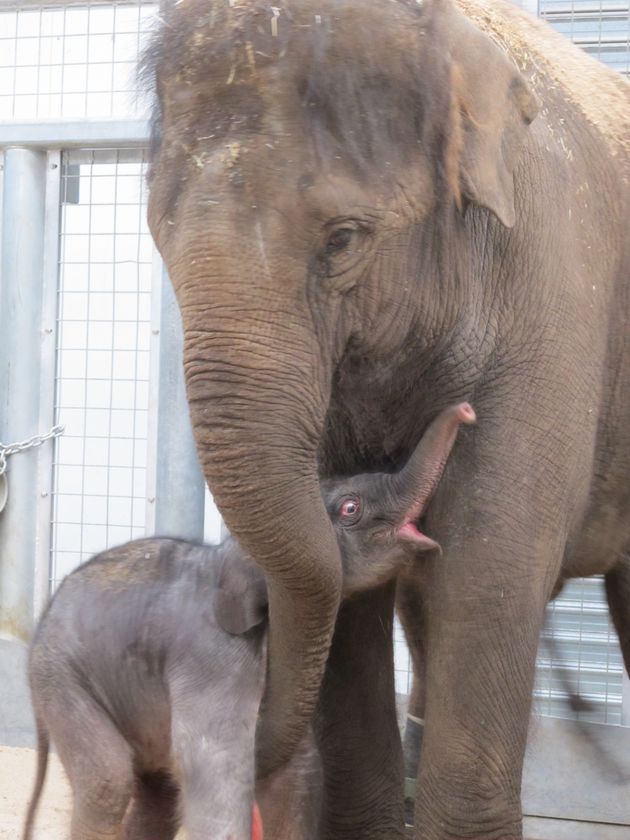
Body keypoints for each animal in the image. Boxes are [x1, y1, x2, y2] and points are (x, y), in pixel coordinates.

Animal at [23, 404, 473, 840]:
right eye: (351, 508)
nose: (466, 411)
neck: (234, 551)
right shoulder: (212, 655)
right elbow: (213, 763)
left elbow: (297, 771)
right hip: (62, 680)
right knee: (108, 780)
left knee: (157, 795)